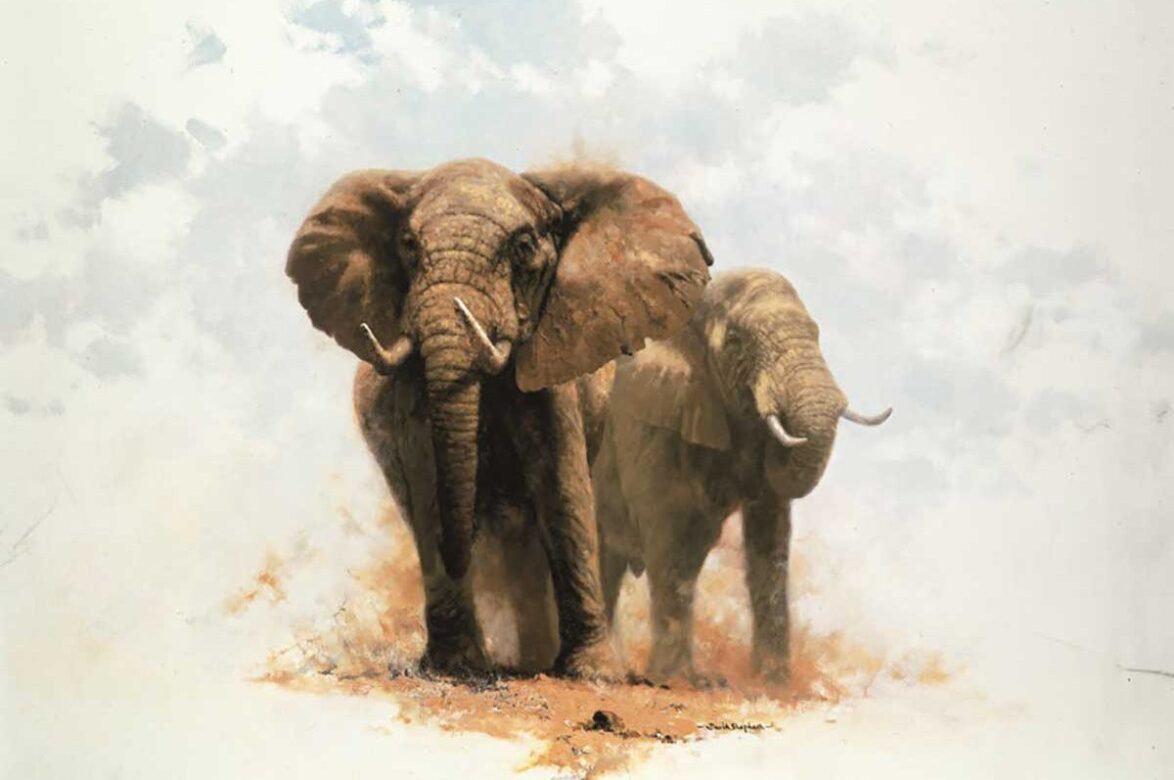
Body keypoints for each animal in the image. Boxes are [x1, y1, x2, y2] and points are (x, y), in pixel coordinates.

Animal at [286, 159, 713, 678]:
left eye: (524, 247)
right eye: (408, 245)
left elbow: (562, 490)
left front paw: (591, 673)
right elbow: (428, 482)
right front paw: (456, 666)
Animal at [592, 268, 890, 685]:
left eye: (816, 333)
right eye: (735, 343)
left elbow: (770, 537)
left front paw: (773, 683)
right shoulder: (650, 412)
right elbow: (665, 526)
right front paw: (680, 681)